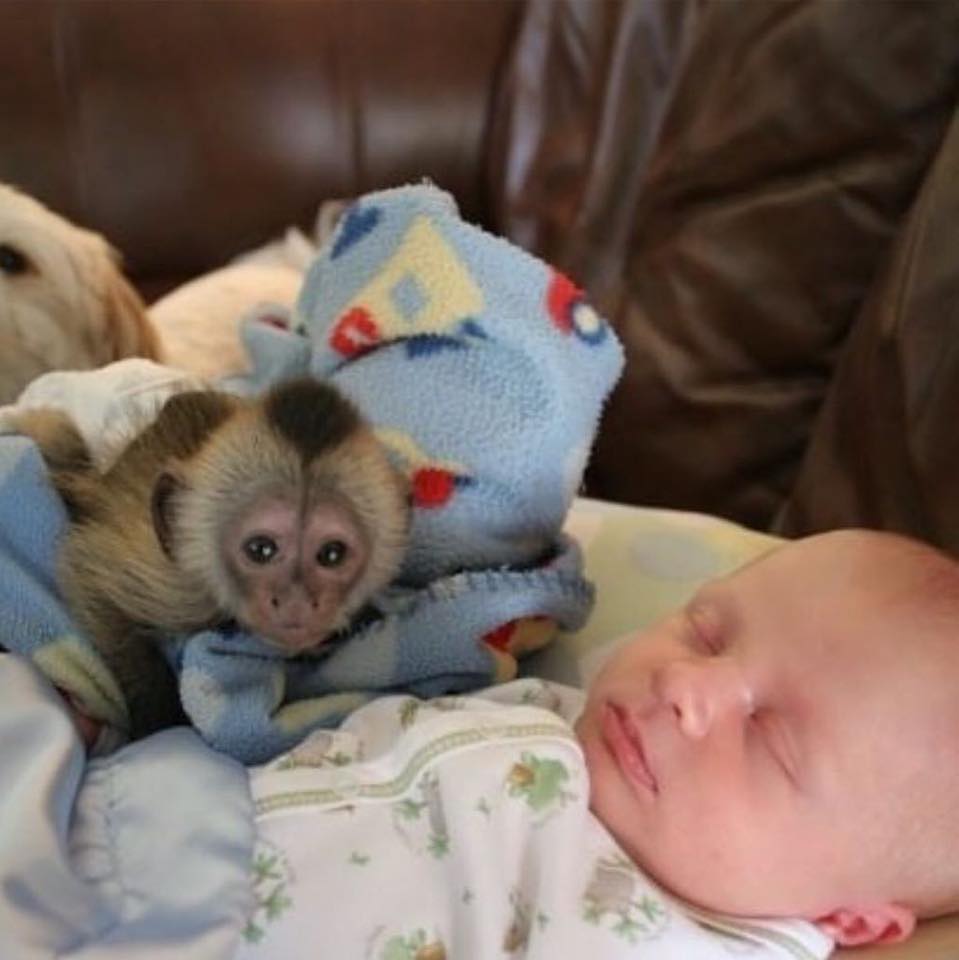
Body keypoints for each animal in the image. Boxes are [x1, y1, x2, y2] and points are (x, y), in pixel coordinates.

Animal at [11, 377, 410, 739]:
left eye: (331, 554)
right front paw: (159, 719)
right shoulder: (177, 587)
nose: (297, 601)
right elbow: (89, 580)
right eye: (261, 549)